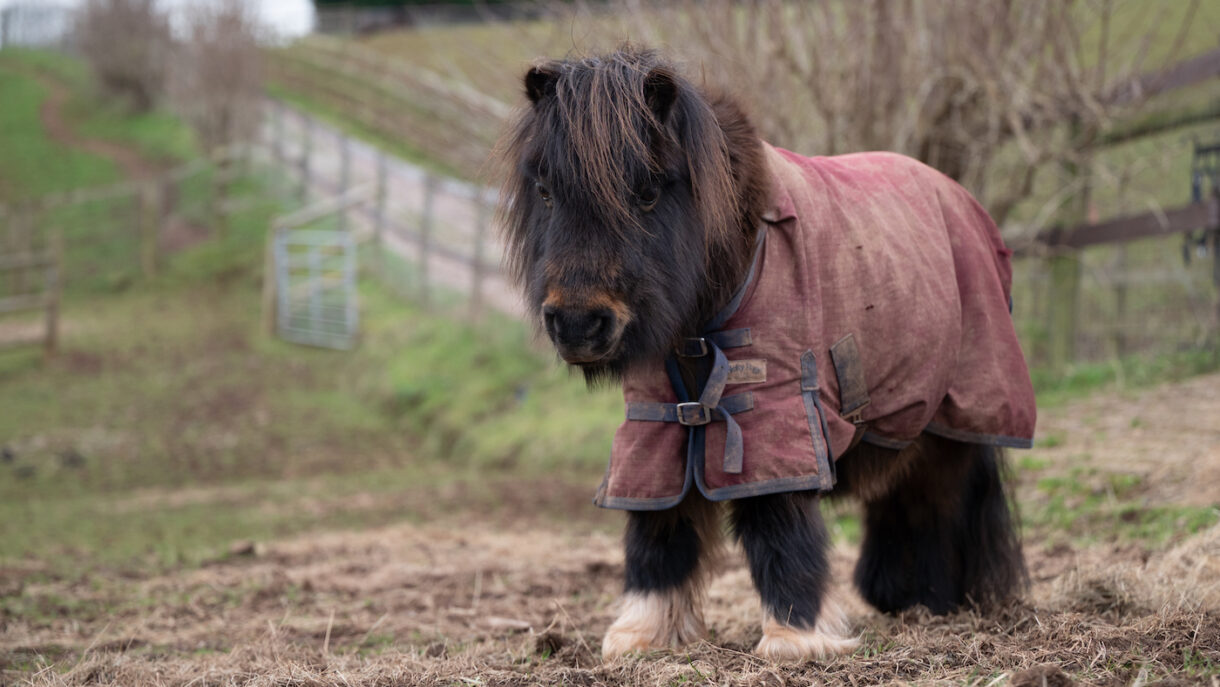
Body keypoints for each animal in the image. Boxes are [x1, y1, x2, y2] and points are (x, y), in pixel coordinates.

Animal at [497, 48, 1036, 662]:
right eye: (545, 191)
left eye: (648, 191)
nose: (579, 325)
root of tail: (963, 201)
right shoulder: (657, 419)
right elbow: (660, 522)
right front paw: (643, 633)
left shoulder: (775, 412)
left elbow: (776, 521)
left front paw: (794, 635)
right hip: (904, 418)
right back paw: (902, 598)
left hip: (955, 420)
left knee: (939, 499)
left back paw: (935, 601)